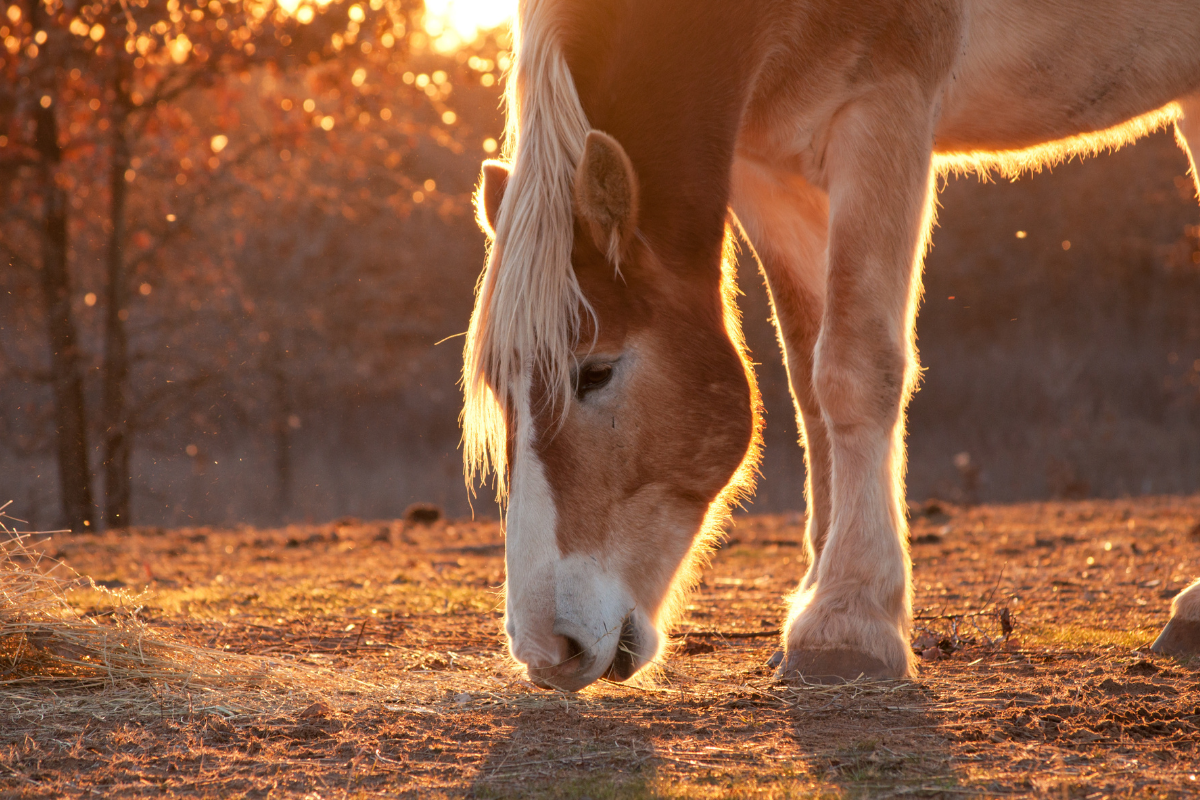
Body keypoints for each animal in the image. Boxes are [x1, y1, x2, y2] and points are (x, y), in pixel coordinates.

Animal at [462, 0, 1200, 691]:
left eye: (595, 372)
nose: (545, 649)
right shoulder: (766, 166)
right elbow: (807, 376)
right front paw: (818, 590)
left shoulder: (882, 109)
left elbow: (851, 368)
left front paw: (847, 621)